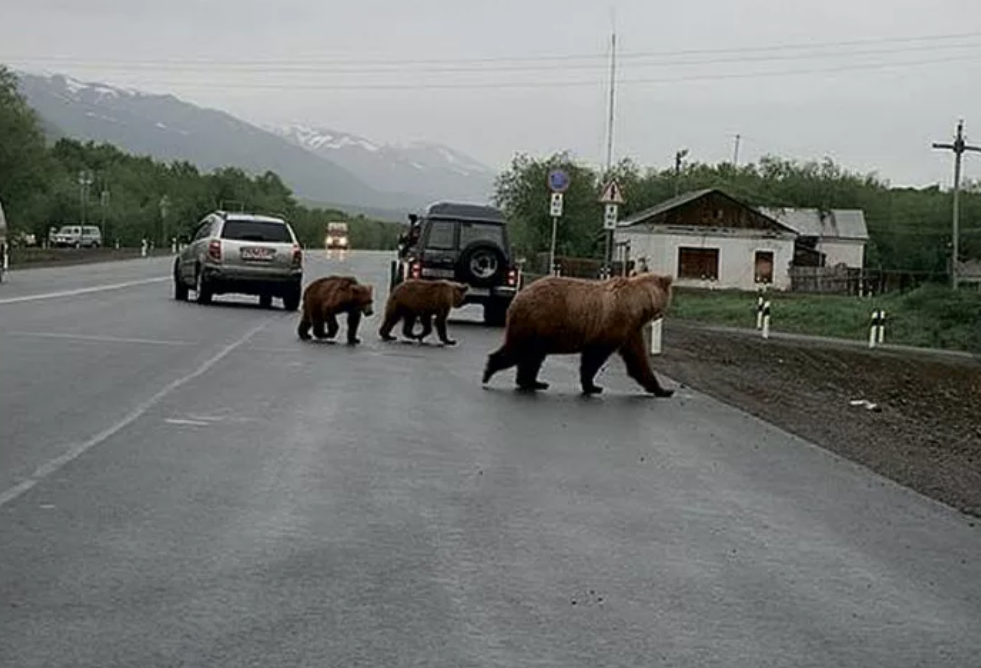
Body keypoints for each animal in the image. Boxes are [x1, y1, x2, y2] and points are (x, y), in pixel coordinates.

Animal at [480, 272, 672, 396]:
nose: (662, 314)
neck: (638, 305)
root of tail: (518, 297)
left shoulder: (631, 329)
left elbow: (638, 359)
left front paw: (662, 390)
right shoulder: (613, 323)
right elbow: (594, 357)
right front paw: (593, 386)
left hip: (538, 330)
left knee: (532, 357)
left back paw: (533, 382)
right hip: (536, 322)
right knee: (519, 350)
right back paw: (489, 372)